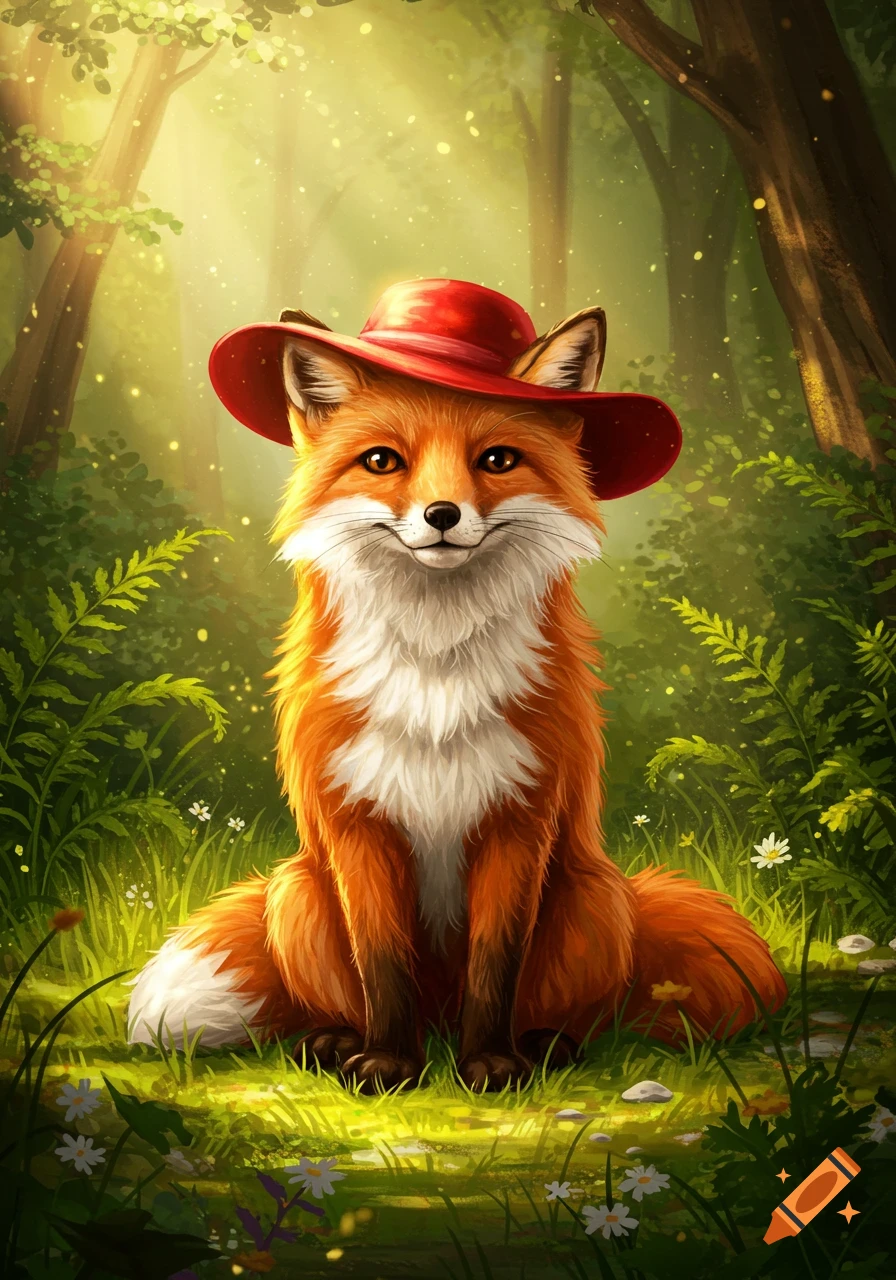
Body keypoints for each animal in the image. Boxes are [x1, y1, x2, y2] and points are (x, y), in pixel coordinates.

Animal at [127, 288, 787, 1092]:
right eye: (383, 461)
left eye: (496, 459)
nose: (441, 515)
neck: (435, 674)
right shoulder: (359, 823)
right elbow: (383, 963)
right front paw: (385, 1062)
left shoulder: (518, 820)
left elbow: (494, 964)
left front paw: (492, 1062)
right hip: (296, 893)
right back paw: (334, 1042)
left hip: (596, 901)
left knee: (577, 1011)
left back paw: (544, 1045)